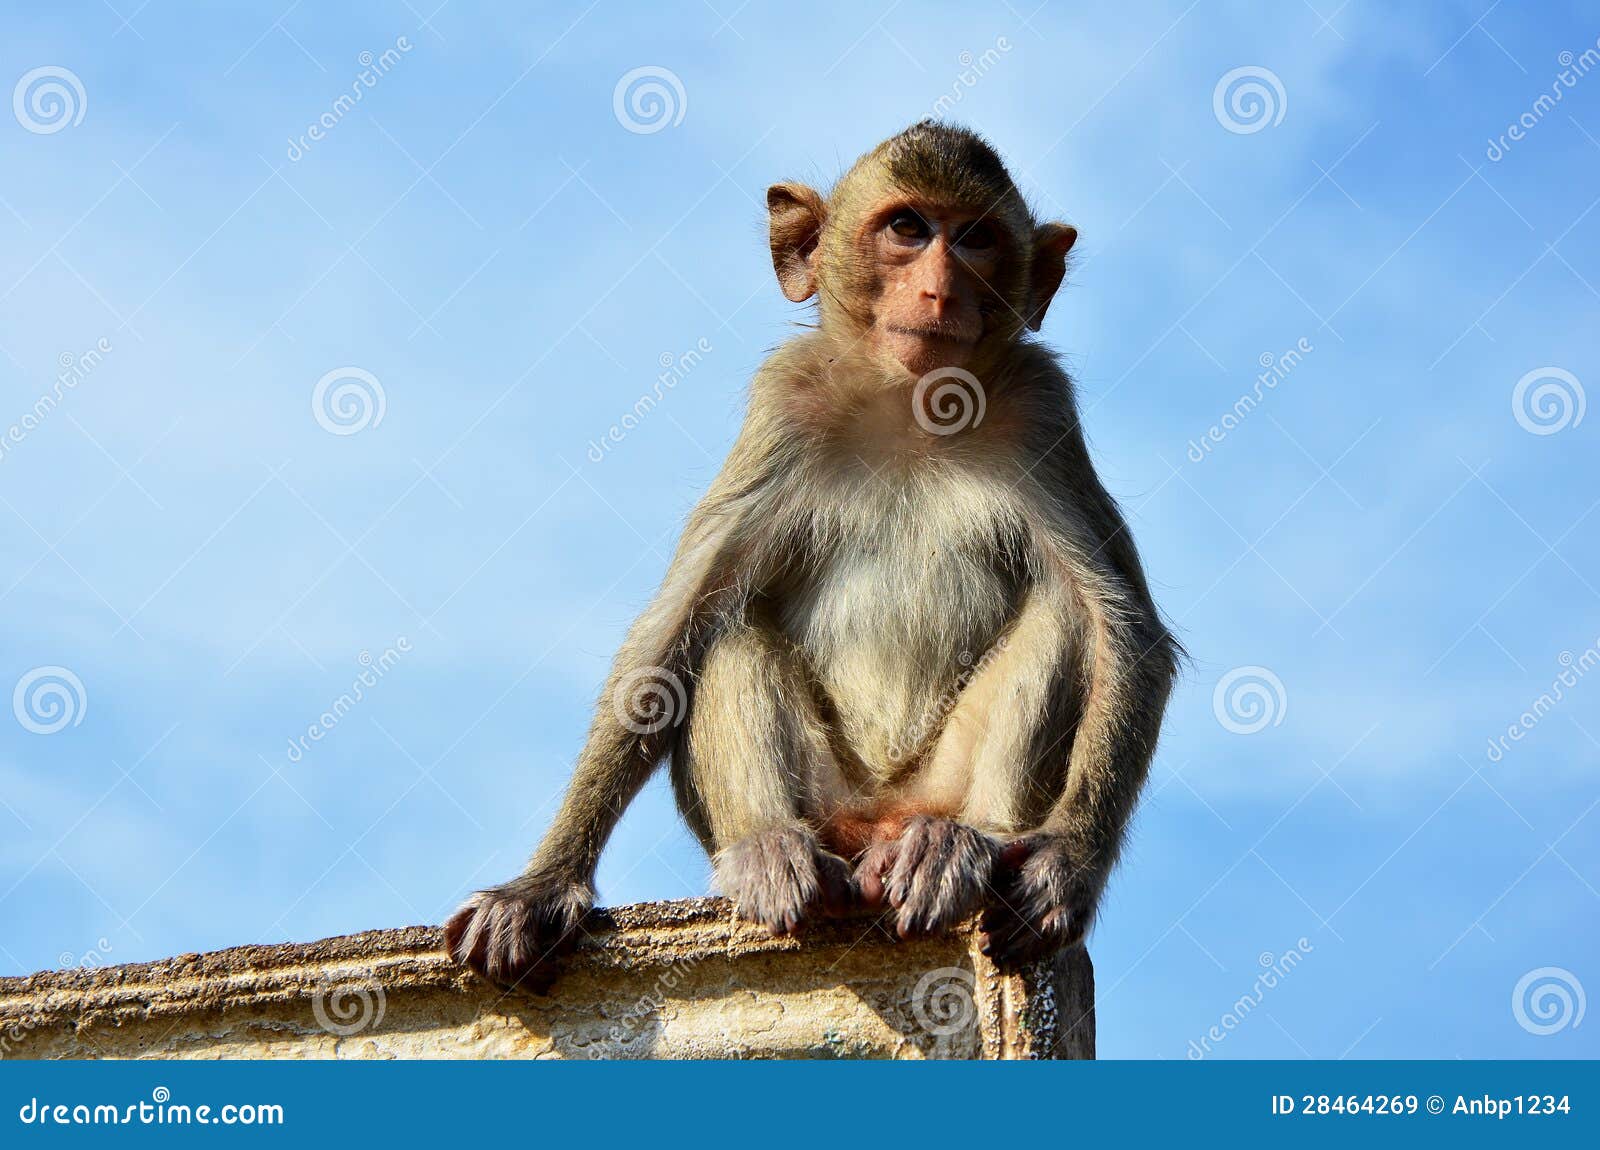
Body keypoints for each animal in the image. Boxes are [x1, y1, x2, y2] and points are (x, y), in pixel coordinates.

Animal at [445, 121, 1179, 990]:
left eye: (975, 238)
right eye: (908, 229)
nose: (939, 291)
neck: (916, 405)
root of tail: (876, 825)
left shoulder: (1043, 410)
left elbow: (1123, 628)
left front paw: (1066, 865)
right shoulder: (782, 405)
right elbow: (677, 626)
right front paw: (542, 886)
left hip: (936, 786)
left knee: (1065, 616)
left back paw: (960, 845)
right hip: (828, 804)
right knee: (724, 626)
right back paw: (769, 850)